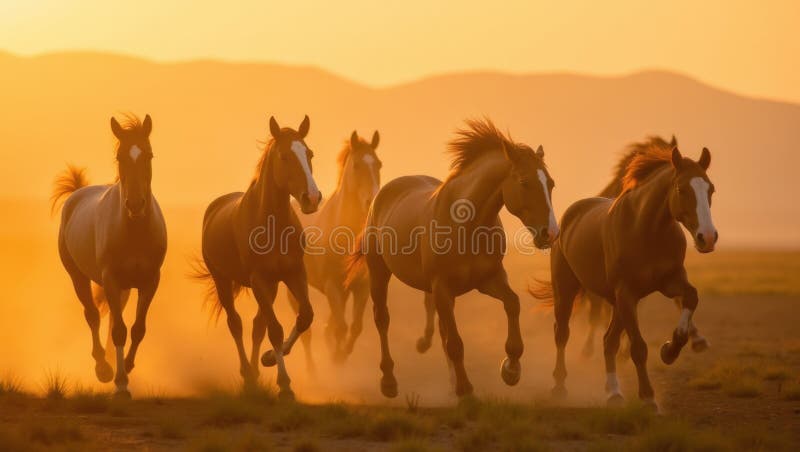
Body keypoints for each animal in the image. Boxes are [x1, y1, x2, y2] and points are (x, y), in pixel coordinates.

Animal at [52, 114, 167, 398]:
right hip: (79, 278)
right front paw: (121, 383)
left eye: (148, 154)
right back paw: (103, 368)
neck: (134, 231)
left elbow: (137, 329)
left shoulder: (150, 282)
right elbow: (118, 331)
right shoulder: (111, 280)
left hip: (123, 289)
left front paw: (127, 367)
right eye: (119, 156)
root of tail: (77, 193)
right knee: (93, 316)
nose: (135, 205)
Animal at [194, 115, 321, 399]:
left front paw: (270, 358)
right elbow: (275, 329)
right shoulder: (259, 279)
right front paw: (284, 384)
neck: (273, 224)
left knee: (256, 327)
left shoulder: (293, 274)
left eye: (309, 153)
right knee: (236, 324)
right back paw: (247, 375)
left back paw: (256, 370)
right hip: (223, 281)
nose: (312, 198)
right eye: (285, 156)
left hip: (270, 287)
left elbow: (304, 317)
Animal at [290, 130, 382, 368]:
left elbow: (355, 327)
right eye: (356, 165)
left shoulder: (360, 287)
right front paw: (337, 356)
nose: (372, 201)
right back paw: (312, 369)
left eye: (379, 164)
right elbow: (340, 327)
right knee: (307, 332)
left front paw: (340, 354)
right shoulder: (333, 287)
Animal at [348, 118, 558, 398]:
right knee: (382, 319)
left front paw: (511, 370)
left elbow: (512, 304)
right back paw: (389, 382)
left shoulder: (488, 279)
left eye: (551, 184)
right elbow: (456, 343)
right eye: (524, 182)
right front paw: (466, 388)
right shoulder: (442, 288)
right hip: (379, 273)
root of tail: (380, 197)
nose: (550, 233)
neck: (468, 225)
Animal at [531, 143, 718, 411]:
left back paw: (613, 392)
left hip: (617, 302)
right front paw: (648, 397)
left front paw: (669, 350)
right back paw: (560, 387)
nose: (708, 237)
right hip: (567, 289)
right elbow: (638, 348)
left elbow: (691, 298)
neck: (646, 230)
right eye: (682, 189)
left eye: (710, 189)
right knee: (562, 333)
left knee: (608, 341)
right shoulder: (627, 294)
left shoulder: (669, 283)